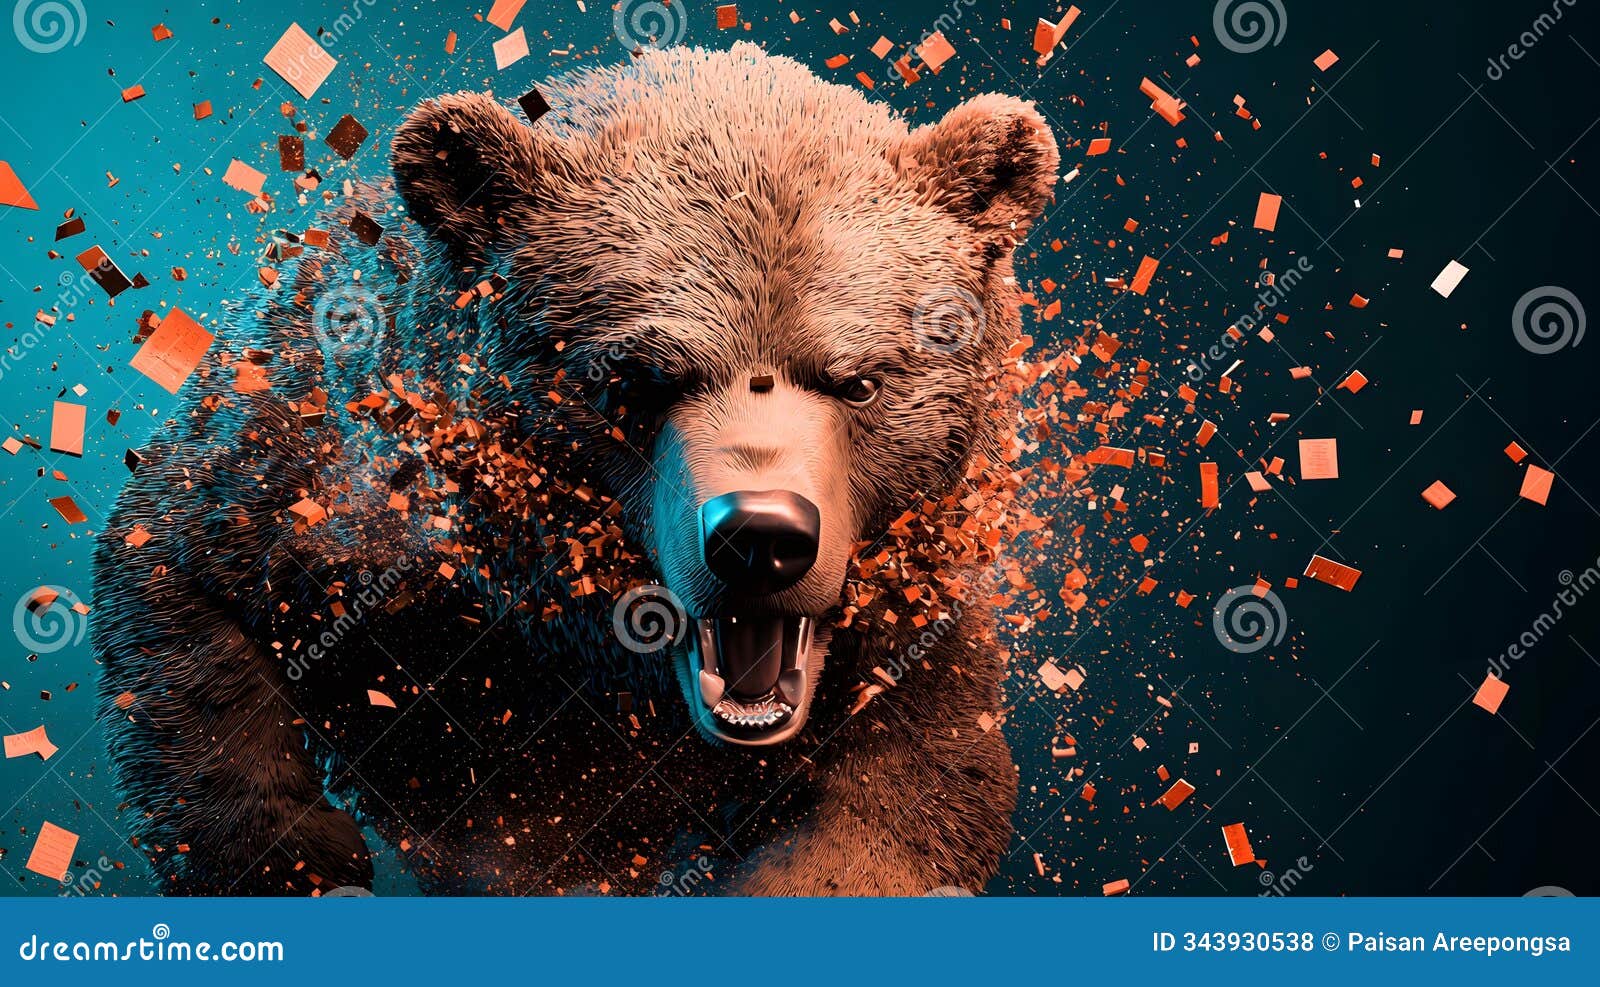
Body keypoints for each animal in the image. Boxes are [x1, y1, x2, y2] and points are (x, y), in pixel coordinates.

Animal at [92, 43, 1059, 896]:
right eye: (636, 379)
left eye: (859, 380)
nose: (760, 538)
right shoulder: (346, 481)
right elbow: (178, 577)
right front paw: (303, 857)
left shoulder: (919, 610)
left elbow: (917, 793)